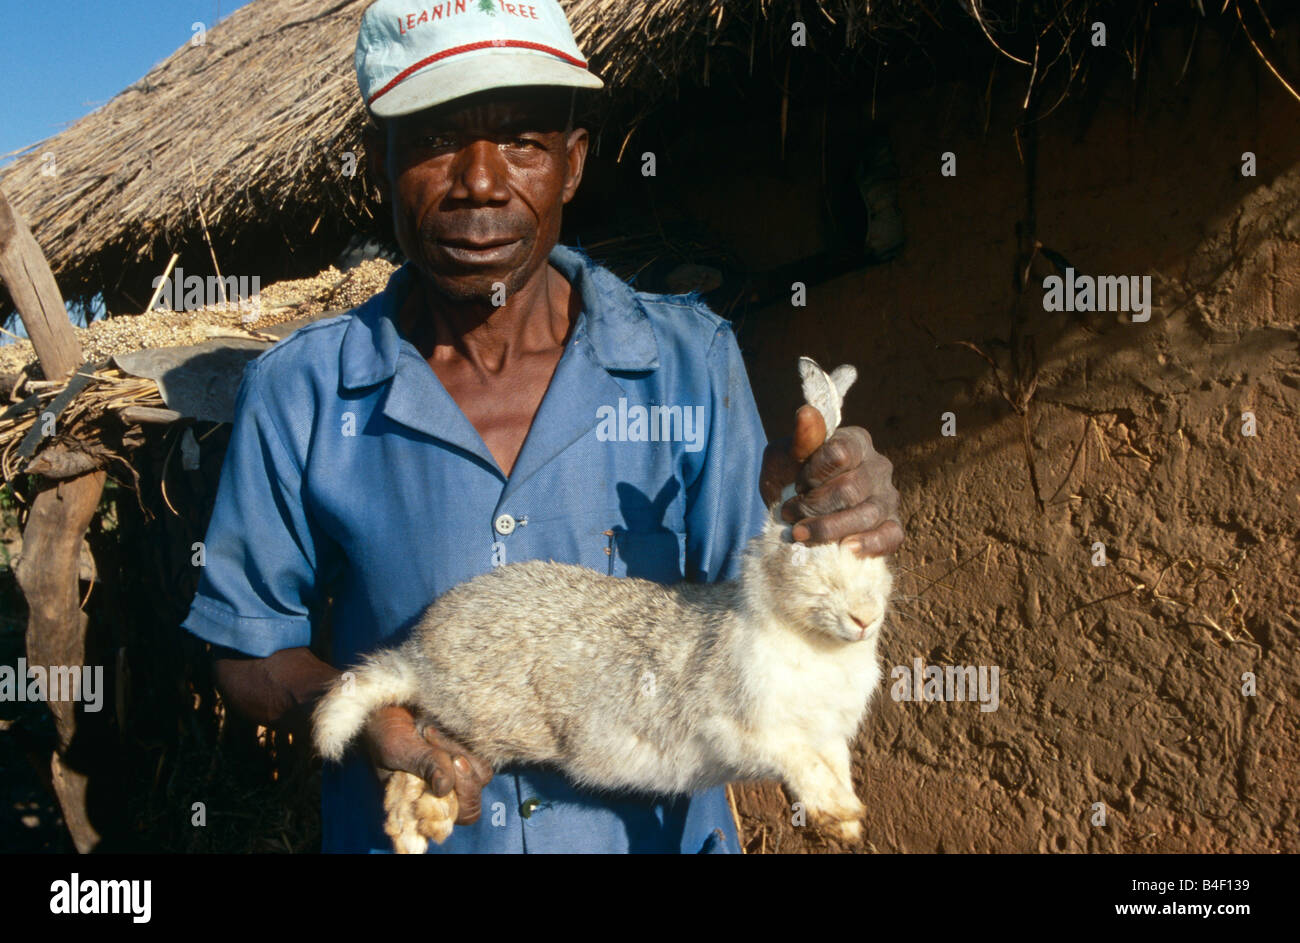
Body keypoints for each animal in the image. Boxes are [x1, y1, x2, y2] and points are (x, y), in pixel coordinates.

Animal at [312, 356, 894, 853]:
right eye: (799, 549)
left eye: (877, 554)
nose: (864, 619)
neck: (810, 637)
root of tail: (418, 658)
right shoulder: (744, 730)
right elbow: (796, 761)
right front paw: (838, 817)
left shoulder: (829, 735)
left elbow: (833, 765)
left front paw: (849, 820)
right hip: (480, 722)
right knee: (420, 758)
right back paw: (421, 828)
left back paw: (420, 830)